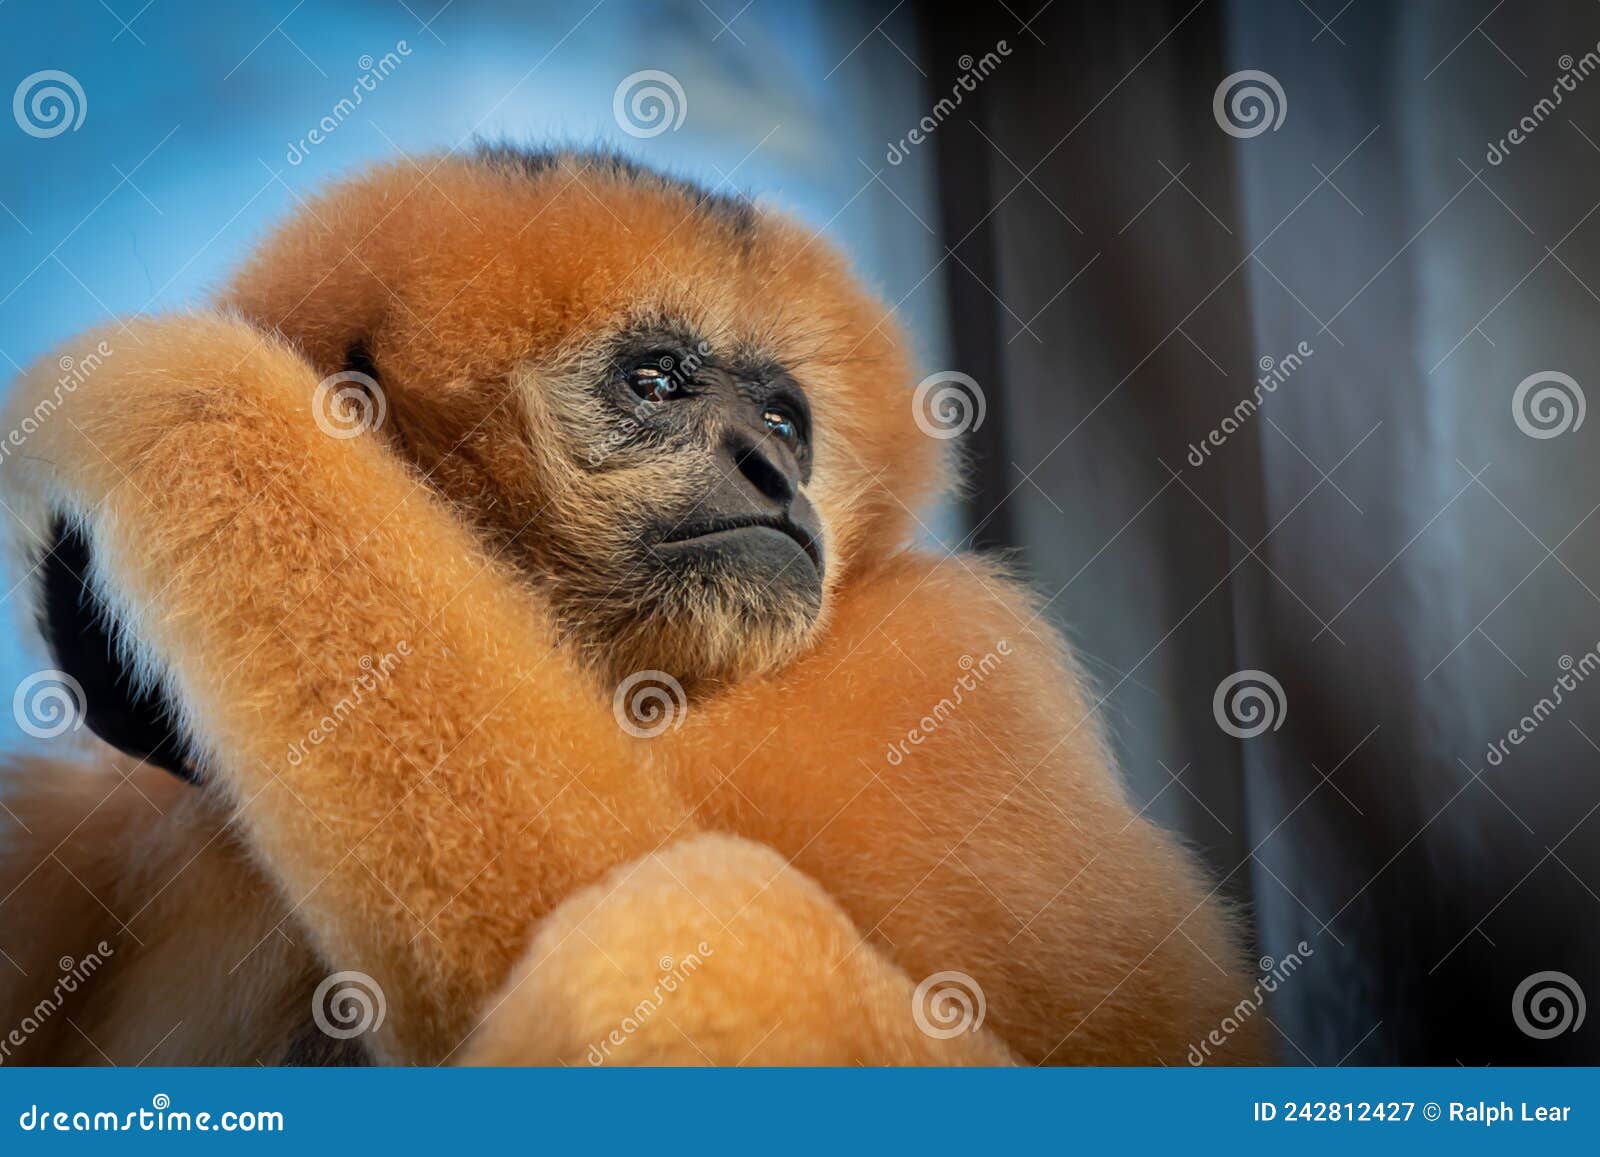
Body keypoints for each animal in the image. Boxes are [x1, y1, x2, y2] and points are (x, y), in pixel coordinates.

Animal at [0, 147, 1266, 1066]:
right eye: (655, 382)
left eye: (785, 418)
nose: (772, 469)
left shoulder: (948, 663)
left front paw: (164, 383)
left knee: (676, 920)